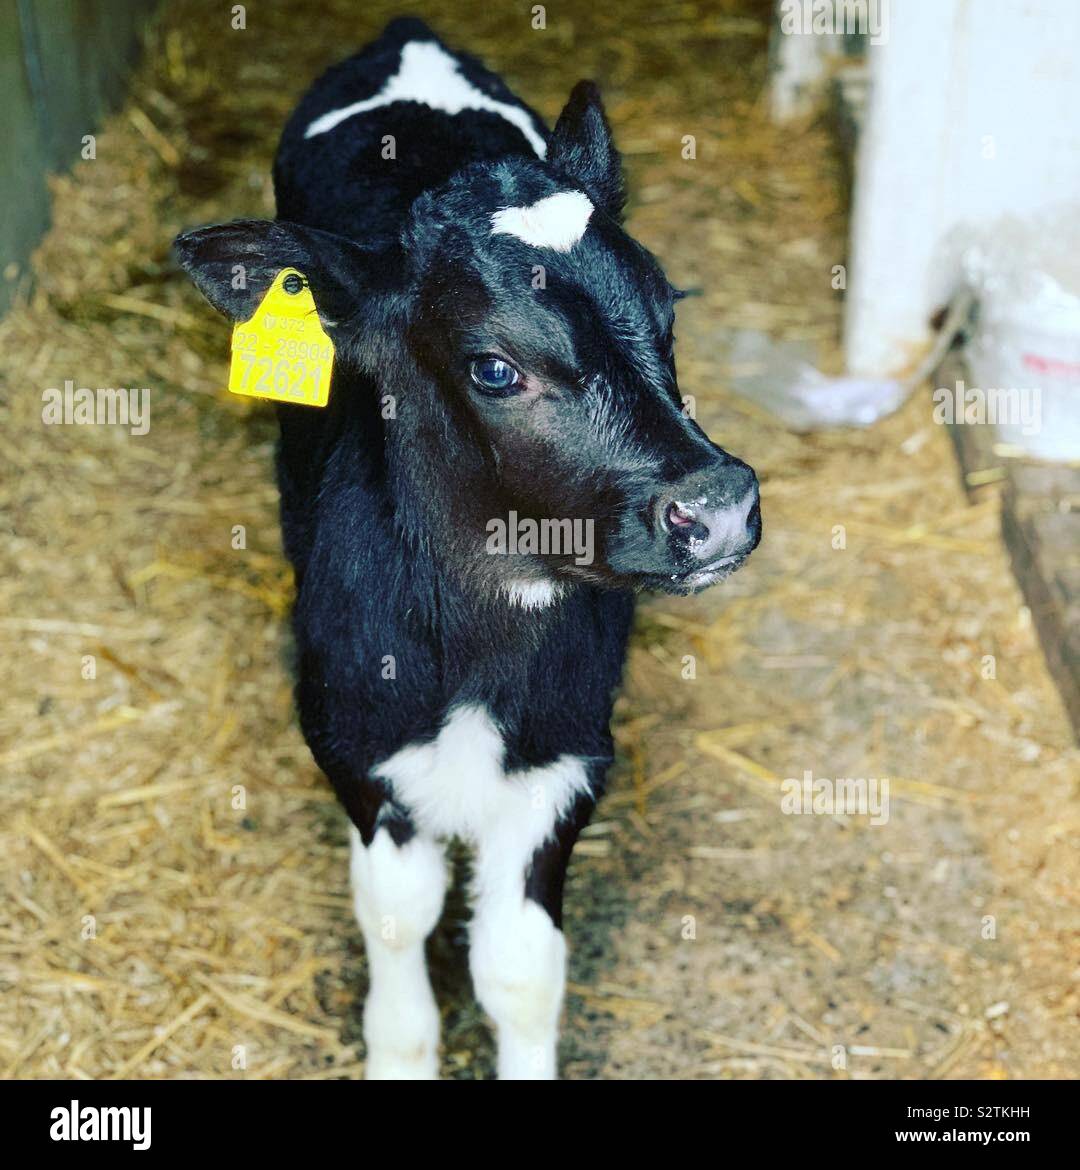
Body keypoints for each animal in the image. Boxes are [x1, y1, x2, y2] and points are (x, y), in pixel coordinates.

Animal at [174, 15, 760, 1080]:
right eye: (494, 367)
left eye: (669, 312)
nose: (720, 505)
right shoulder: (353, 748)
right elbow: (399, 923)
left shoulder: (569, 755)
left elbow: (519, 971)